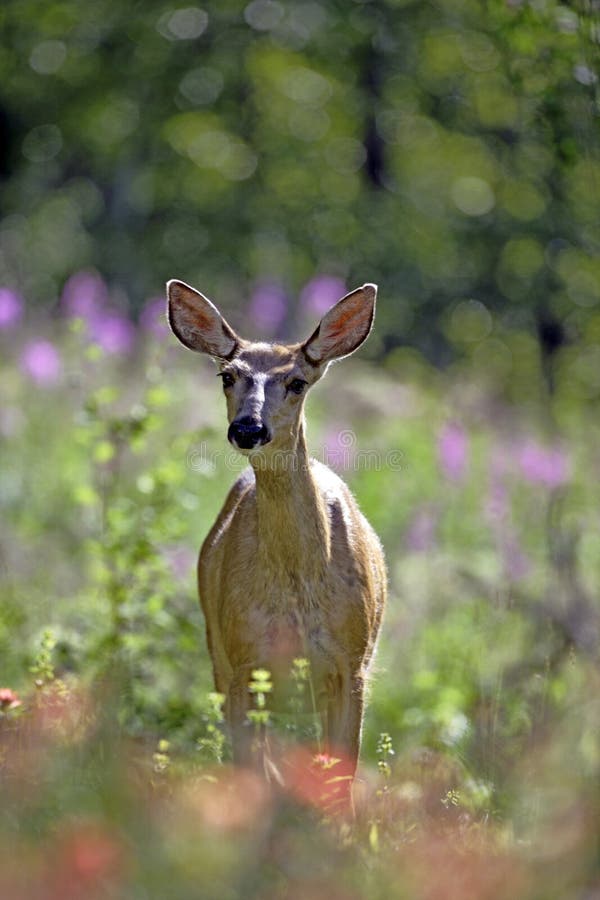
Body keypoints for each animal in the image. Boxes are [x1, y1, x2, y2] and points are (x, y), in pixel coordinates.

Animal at [167, 279, 387, 783]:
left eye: (297, 382)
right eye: (227, 376)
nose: (248, 428)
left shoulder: (351, 665)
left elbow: (340, 781)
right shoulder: (244, 660)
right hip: (219, 656)